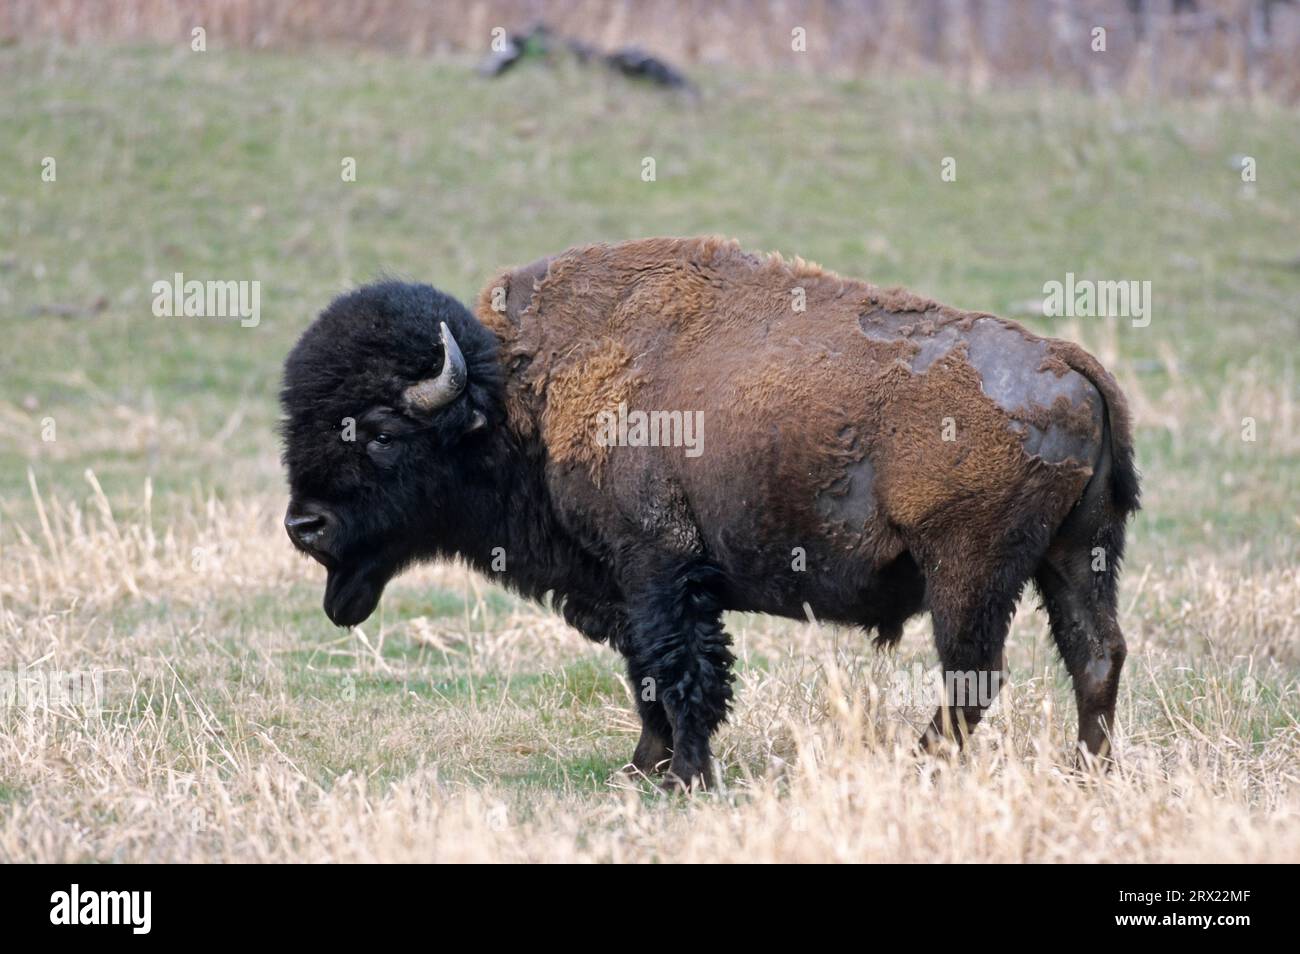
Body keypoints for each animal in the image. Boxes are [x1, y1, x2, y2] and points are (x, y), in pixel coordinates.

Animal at [281, 237, 1140, 789]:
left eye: (381, 432)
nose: (303, 526)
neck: (521, 395)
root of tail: (1069, 363)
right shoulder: (629, 584)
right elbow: (648, 674)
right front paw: (641, 769)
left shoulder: (657, 569)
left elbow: (680, 670)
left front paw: (683, 776)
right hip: (1077, 555)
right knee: (1095, 654)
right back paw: (1088, 775)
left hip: (969, 570)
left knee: (975, 675)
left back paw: (918, 766)